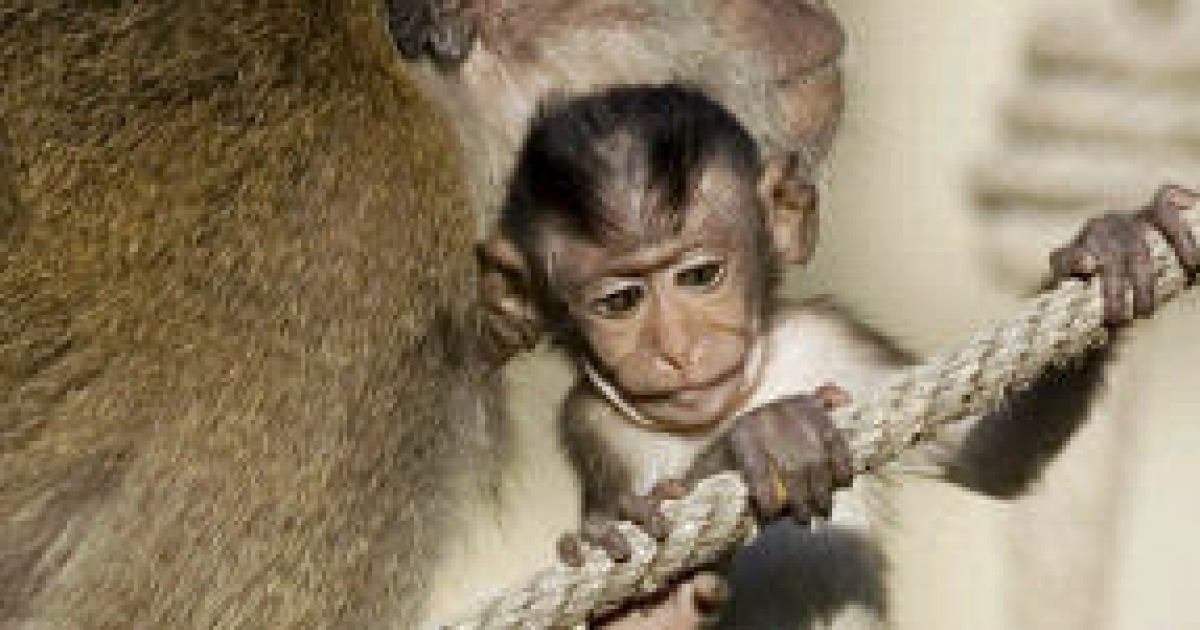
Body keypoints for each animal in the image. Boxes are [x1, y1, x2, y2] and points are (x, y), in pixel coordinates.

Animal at [476, 83, 1200, 628]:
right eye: (621, 302)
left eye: (700, 276)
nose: (678, 350)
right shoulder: (591, 424)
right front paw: (659, 596)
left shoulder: (832, 340)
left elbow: (995, 454)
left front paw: (1108, 244)